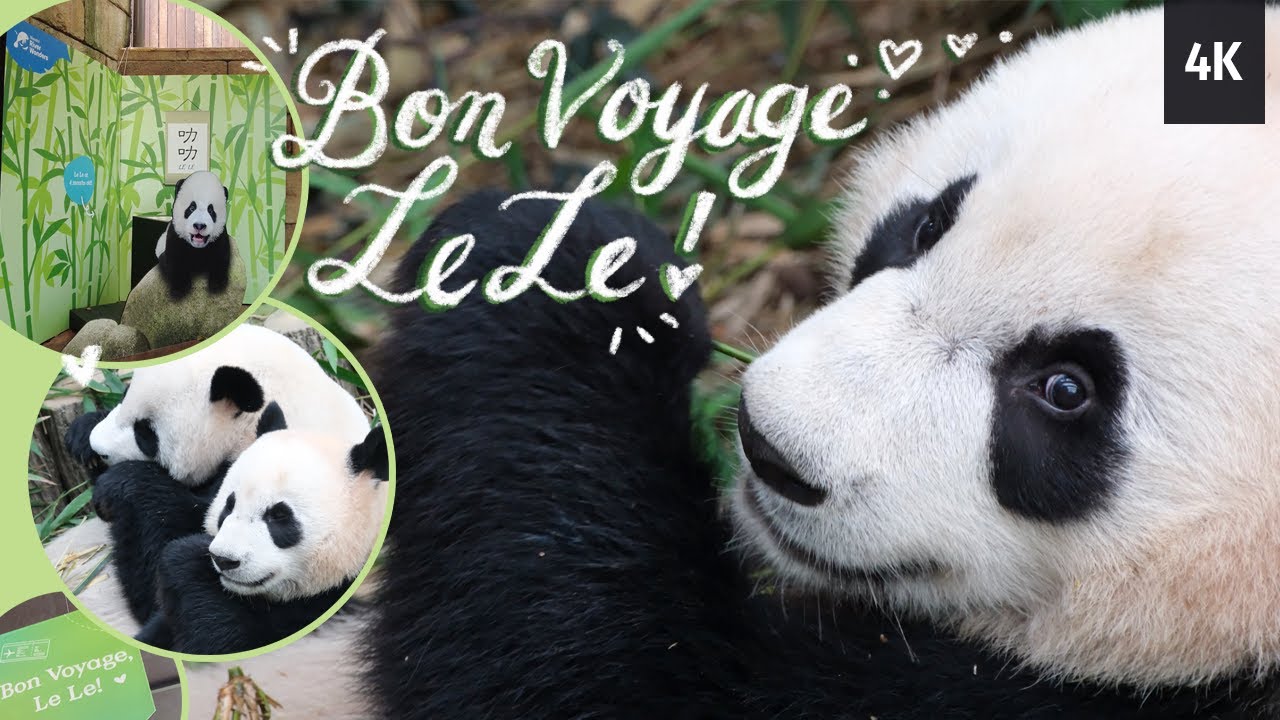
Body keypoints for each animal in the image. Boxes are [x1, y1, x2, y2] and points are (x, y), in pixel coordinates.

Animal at [65, 323, 370, 624]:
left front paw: (116, 488)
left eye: (145, 432)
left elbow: (157, 583)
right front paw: (82, 436)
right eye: (126, 394)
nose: (98, 445)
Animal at [155, 170, 232, 300]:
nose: (199, 226)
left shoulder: (220, 236)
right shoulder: (175, 234)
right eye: (191, 208)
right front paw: (180, 289)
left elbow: (221, 257)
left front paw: (217, 285)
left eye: (211, 210)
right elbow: (175, 260)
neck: (197, 248)